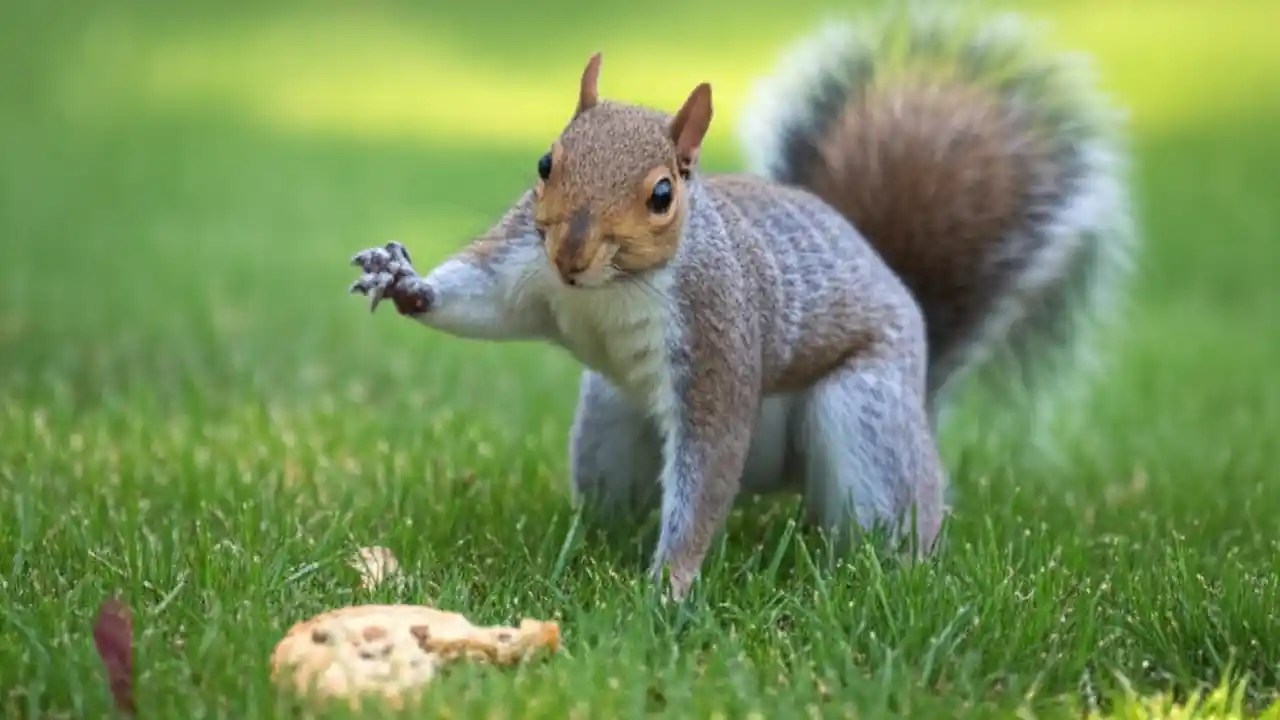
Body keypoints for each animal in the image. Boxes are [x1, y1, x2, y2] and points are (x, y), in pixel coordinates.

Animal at [347, 7, 1134, 599]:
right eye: (546, 162)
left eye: (663, 194)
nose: (569, 255)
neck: (611, 287)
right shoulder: (524, 263)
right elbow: (482, 302)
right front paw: (402, 281)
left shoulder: (716, 327)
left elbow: (709, 459)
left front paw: (669, 588)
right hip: (610, 422)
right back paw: (598, 538)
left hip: (865, 411)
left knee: (884, 507)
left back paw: (884, 574)